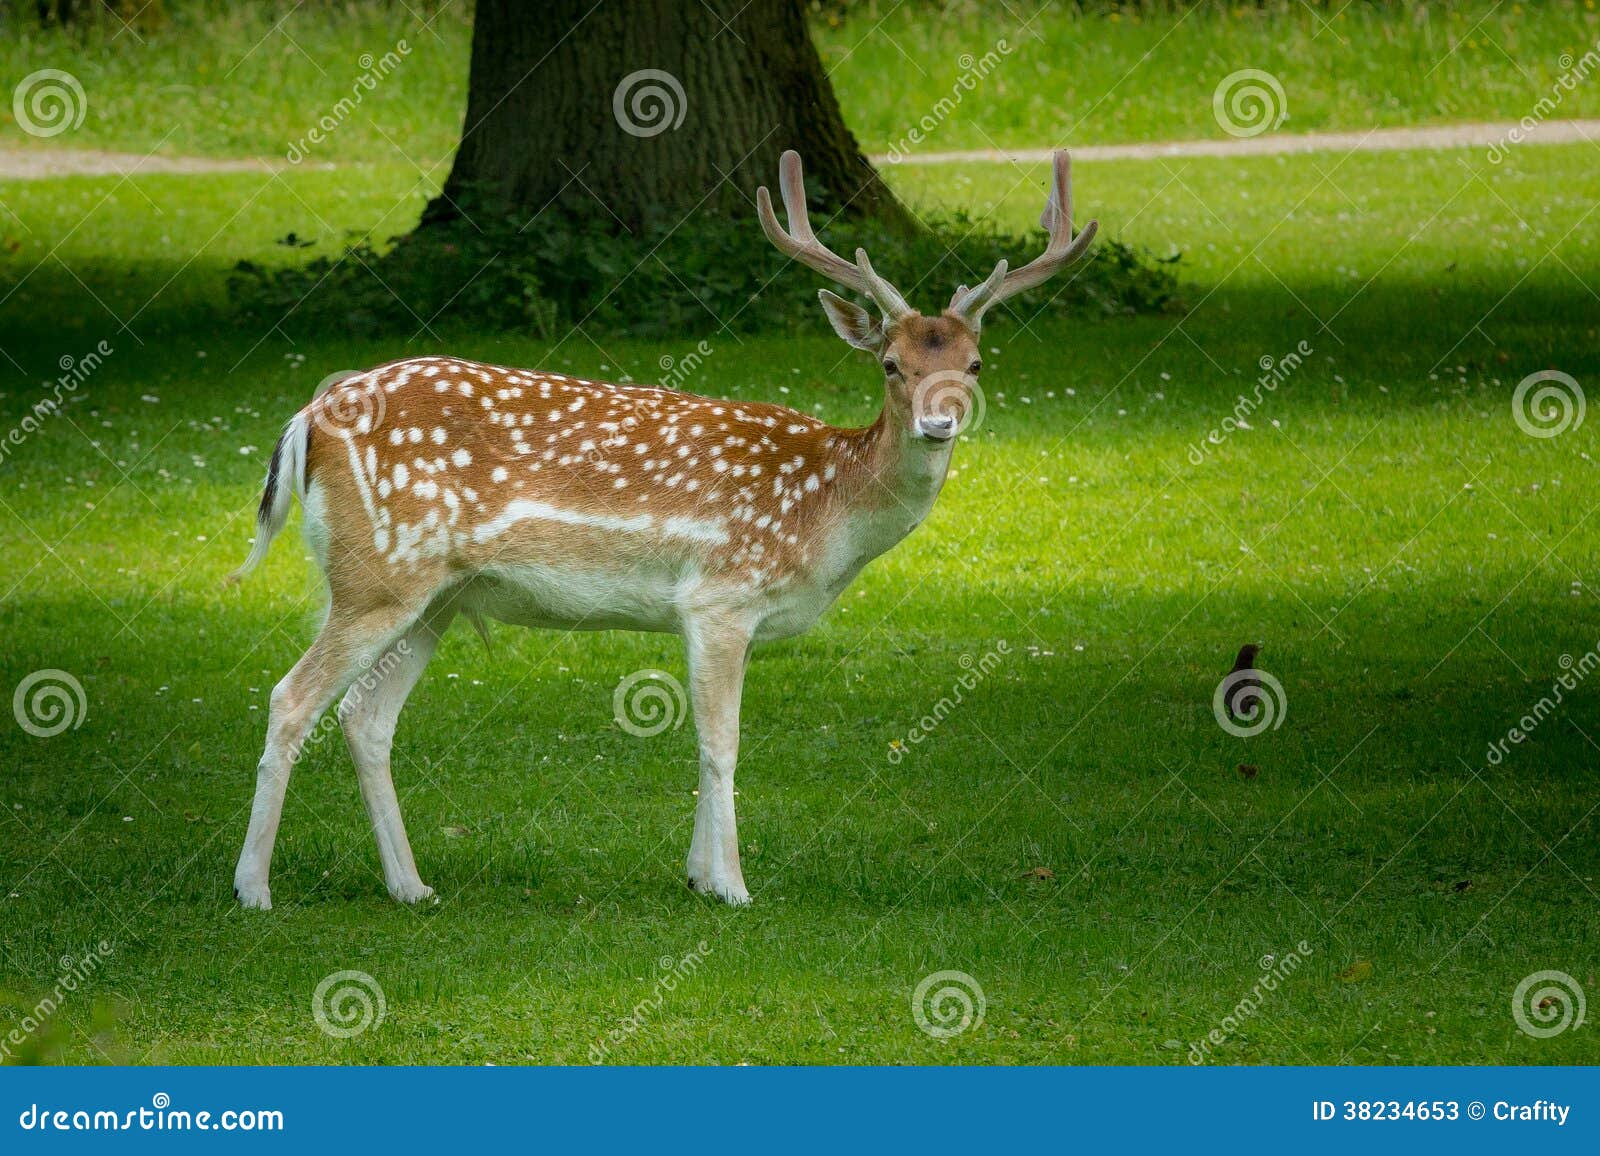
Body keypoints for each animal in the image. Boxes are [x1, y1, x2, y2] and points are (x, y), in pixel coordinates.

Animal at [227, 150, 1096, 909]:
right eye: (891, 364)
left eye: (975, 364)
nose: (937, 422)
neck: (826, 510)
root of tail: (308, 418)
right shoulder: (721, 597)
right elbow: (722, 742)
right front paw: (734, 887)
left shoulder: (704, 613)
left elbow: (707, 742)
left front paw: (697, 877)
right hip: (375, 574)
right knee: (291, 698)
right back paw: (254, 890)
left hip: (435, 596)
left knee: (365, 717)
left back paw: (411, 887)